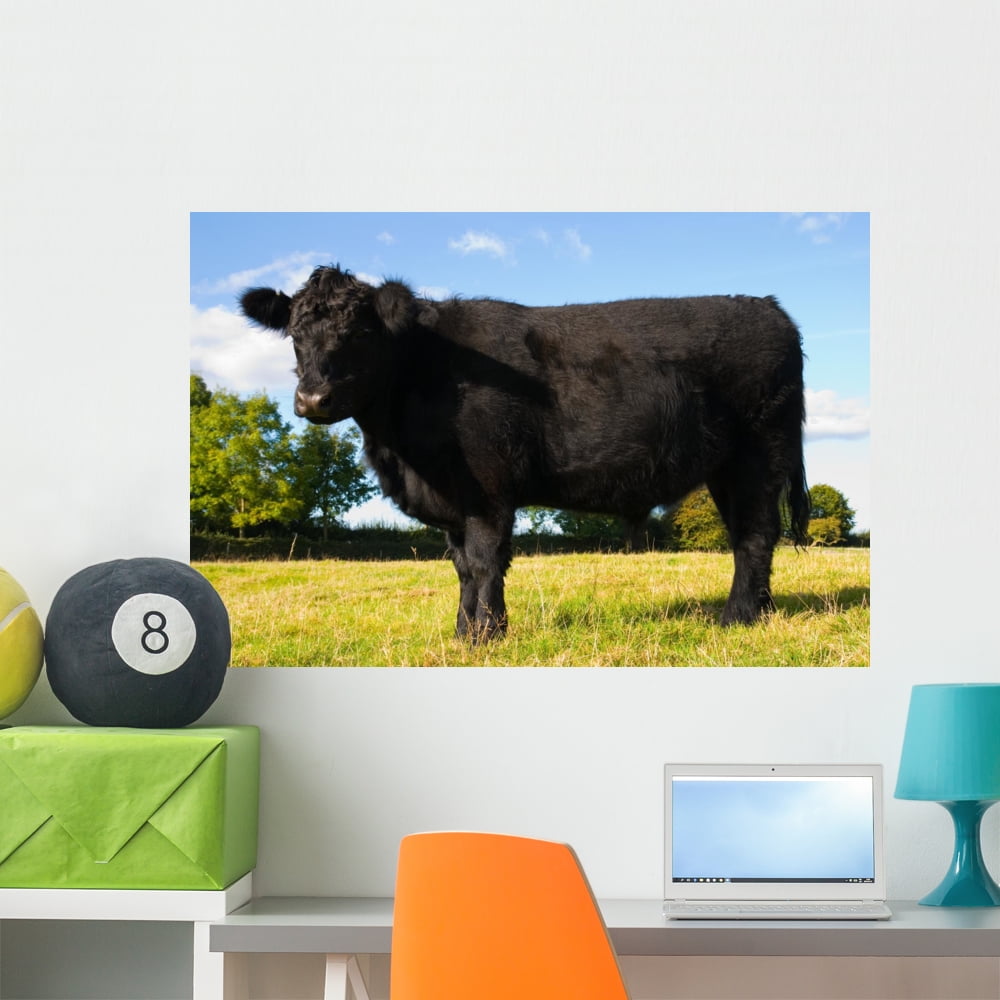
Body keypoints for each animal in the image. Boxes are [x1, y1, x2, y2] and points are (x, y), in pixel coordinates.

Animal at [241, 265, 809, 643]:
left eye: (359, 332)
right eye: (295, 335)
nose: (312, 399)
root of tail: (769, 306)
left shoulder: (488, 490)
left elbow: (486, 561)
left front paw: (487, 635)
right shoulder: (453, 498)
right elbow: (462, 567)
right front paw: (462, 632)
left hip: (758, 455)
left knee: (755, 537)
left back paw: (738, 617)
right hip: (729, 466)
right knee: (748, 536)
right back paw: (757, 610)